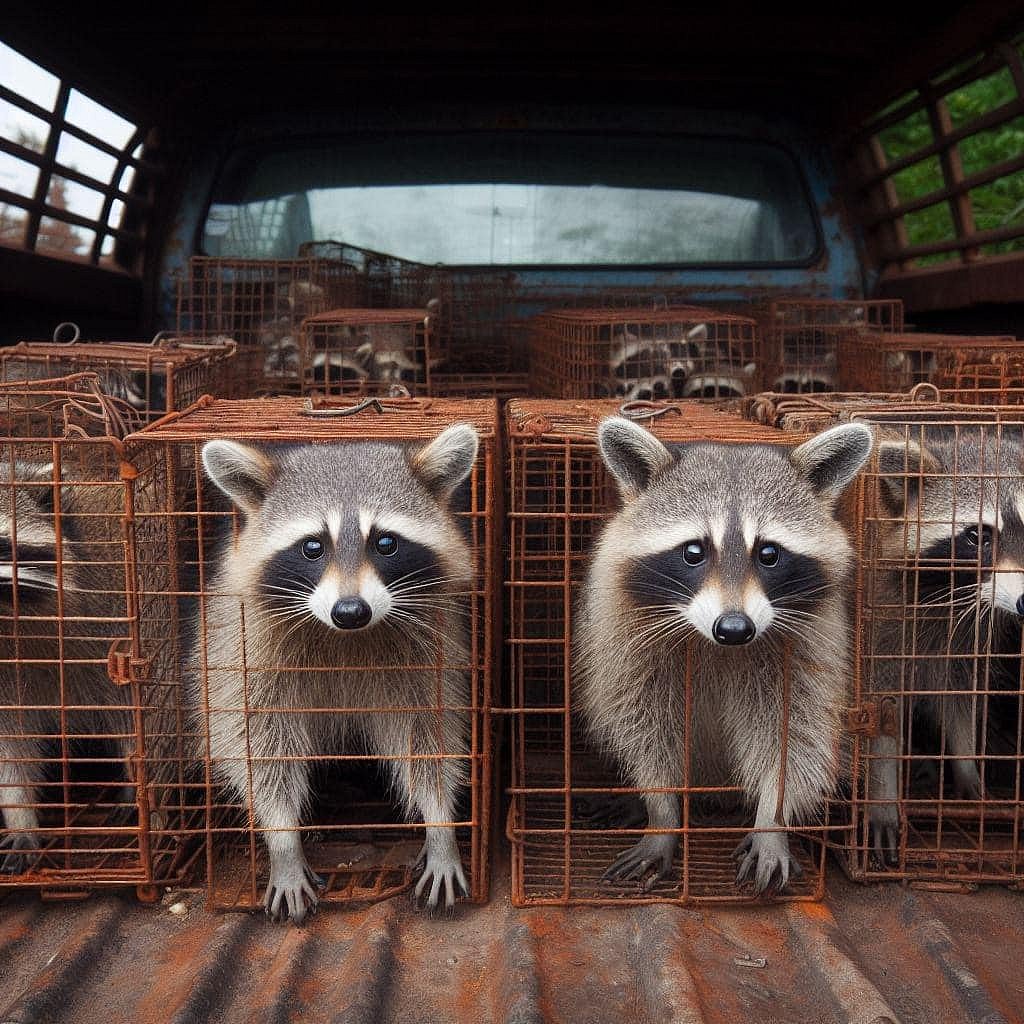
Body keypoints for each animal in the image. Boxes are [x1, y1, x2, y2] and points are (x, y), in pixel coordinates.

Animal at [194, 424, 478, 923]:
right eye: (313, 546)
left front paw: (440, 823)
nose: (350, 611)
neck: (346, 635)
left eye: (385, 543)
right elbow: (256, 742)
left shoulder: (430, 648)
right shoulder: (247, 647)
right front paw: (283, 840)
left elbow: (429, 733)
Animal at [575, 416, 872, 893]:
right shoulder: (625, 642)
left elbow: (794, 736)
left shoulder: (811, 642)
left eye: (769, 553)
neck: (717, 645)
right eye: (694, 551)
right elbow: (643, 728)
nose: (734, 628)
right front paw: (661, 813)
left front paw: (772, 820)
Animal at [868, 426, 1024, 859]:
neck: (948, 591)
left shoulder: (970, 638)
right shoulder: (881, 626)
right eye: (978, 536)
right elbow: (878, 717)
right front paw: (882, 797)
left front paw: (967, 764)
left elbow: (961, 700)